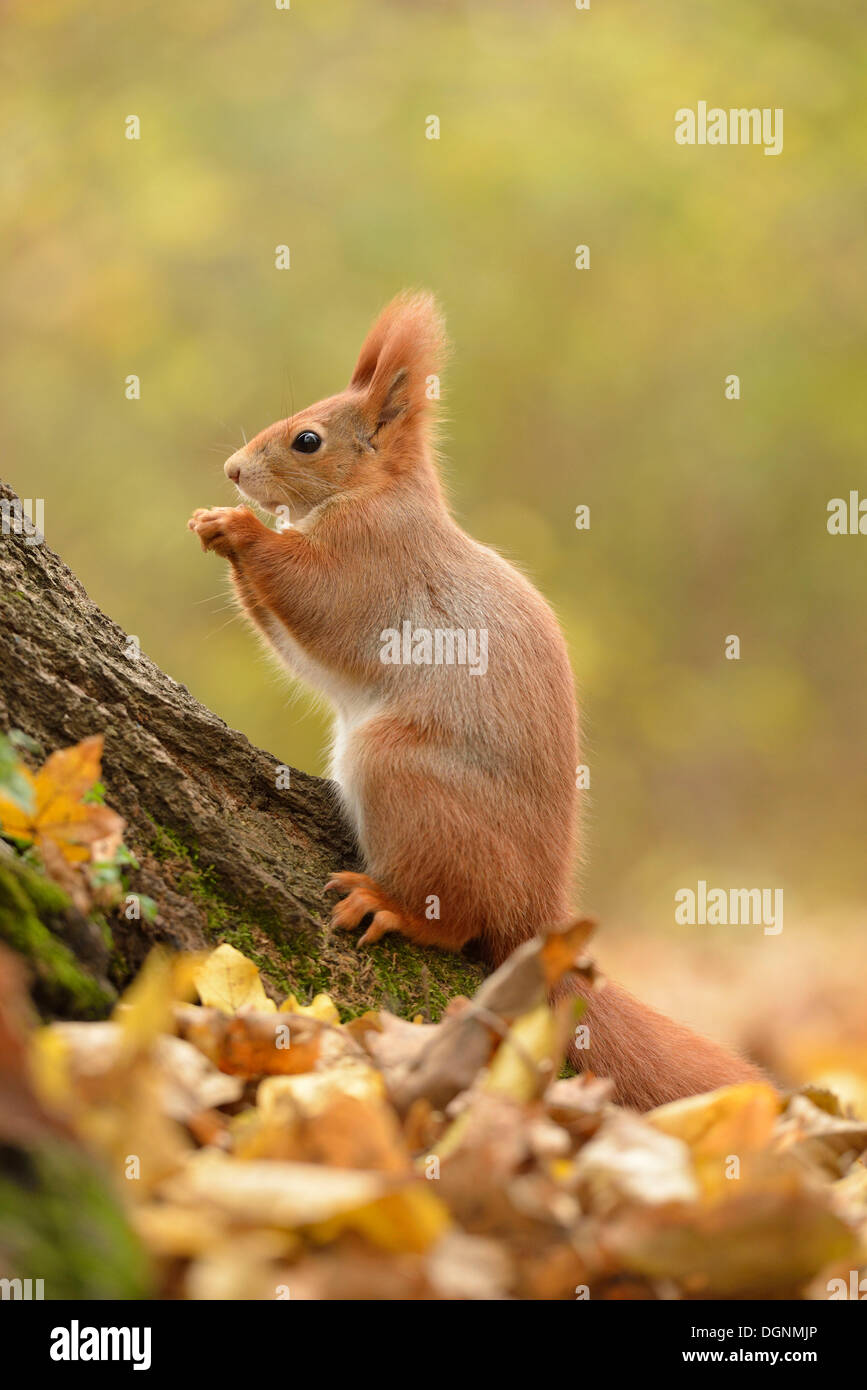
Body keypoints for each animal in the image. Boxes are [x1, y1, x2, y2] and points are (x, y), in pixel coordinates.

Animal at [188, 291, 764, 1111]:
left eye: (307, 440)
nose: (233, 472)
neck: (376, 495)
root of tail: (538, 915)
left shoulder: (371, 566)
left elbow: (315, 601)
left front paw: (237, 527)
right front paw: (212, 524)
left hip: (402, 776)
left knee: (460, 924)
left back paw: (394, 906)